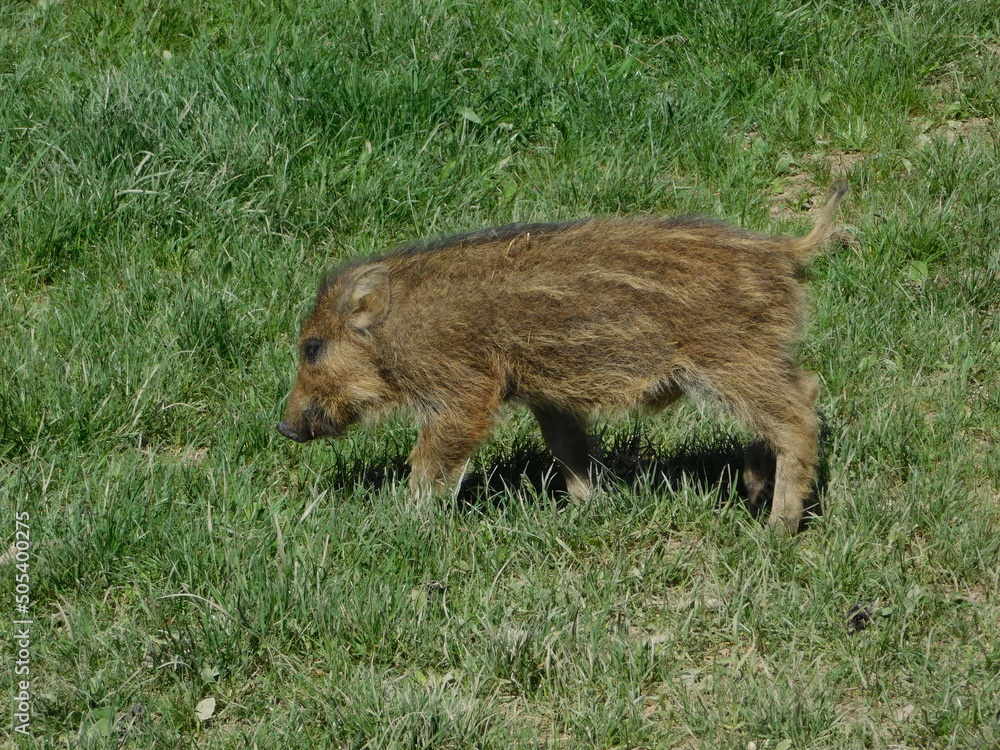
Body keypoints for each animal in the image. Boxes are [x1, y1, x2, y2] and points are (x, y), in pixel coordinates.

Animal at [279, 181, 848, 532]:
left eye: (313, 347)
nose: (284, 427)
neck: (397, 329)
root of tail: (785, 250)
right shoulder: (546, 396)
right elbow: (567, 447)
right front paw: (588, 507)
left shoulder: (464, 390)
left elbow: (432, 459)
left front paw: (405, 517)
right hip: (758, 358)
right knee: (807, 387)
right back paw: (754, 492)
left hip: (730, 360)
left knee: (797, 418)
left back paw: (777, 527)